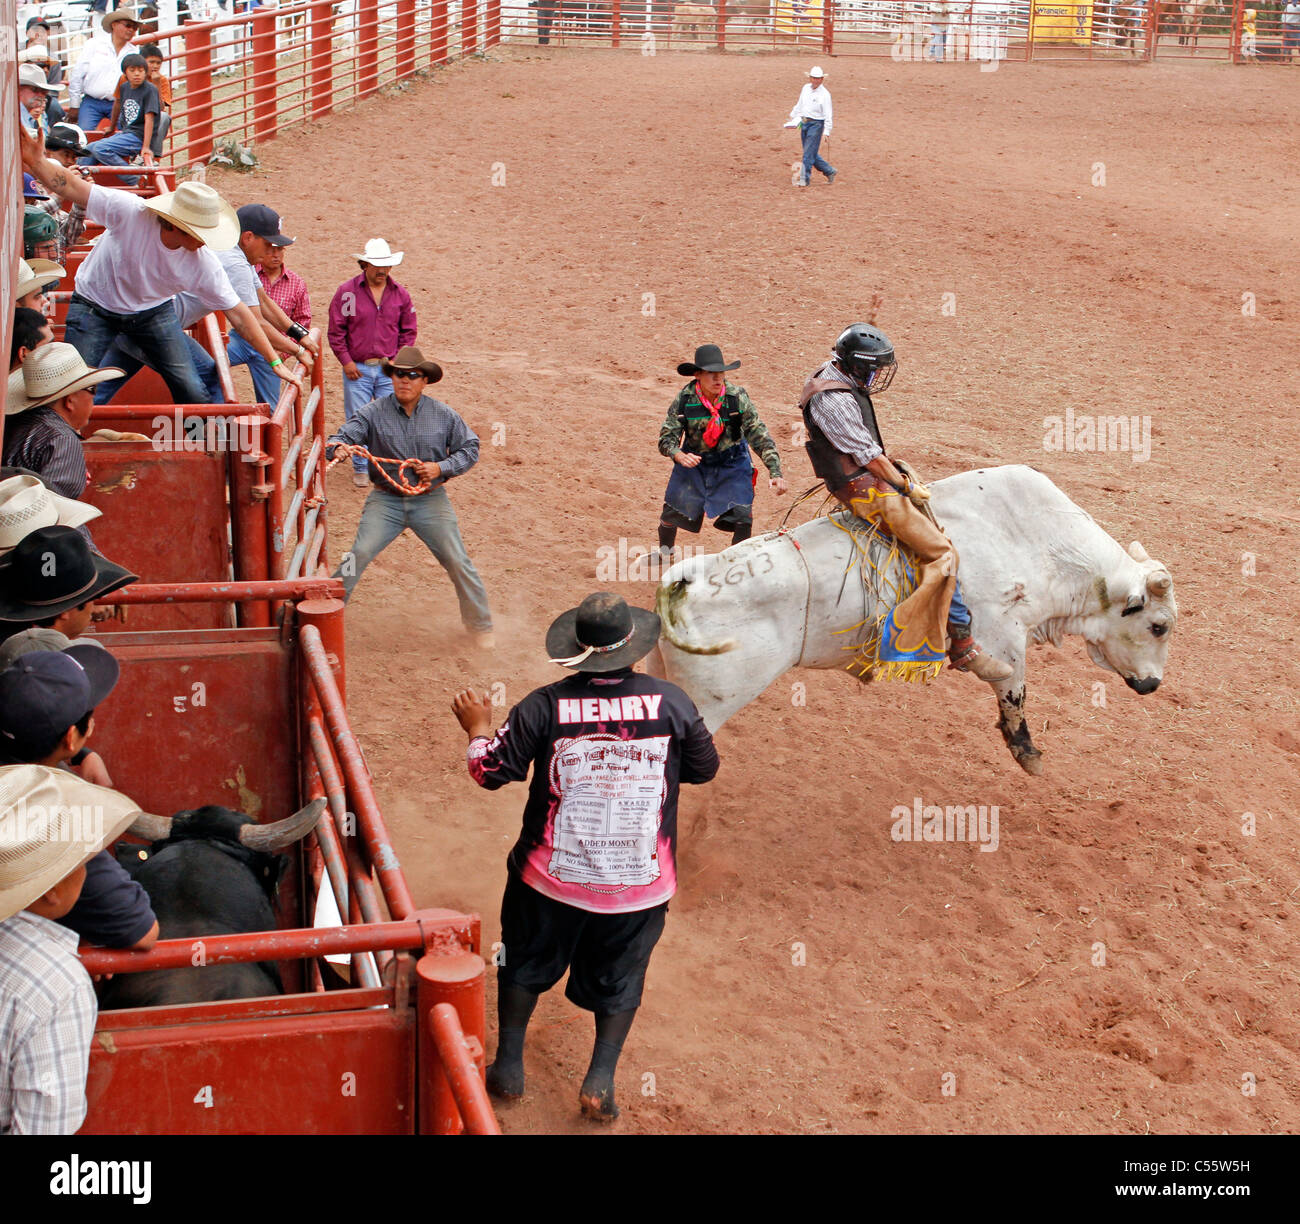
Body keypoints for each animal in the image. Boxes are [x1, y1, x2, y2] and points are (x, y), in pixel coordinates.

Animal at [652, 465, 1177, 775]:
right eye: (1158, 626)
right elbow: (1013, 689)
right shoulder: (1003, 637)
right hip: (709, 704)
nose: (1152, 684)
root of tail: (690, 577)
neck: (1042, 543)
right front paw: (1026, 751)